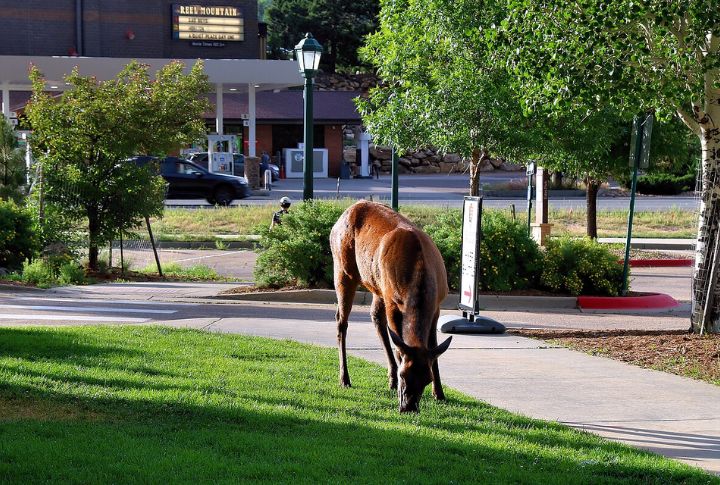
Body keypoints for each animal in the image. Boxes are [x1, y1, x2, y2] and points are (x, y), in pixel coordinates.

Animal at [330, 200, 452, 413]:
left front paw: (439, 393)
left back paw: (389, 379)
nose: (408, 407)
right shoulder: (393, 302)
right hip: (344, 270)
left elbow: (434, 350)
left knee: (375, 317)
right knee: (341, 320)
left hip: (377, 286)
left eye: (427, 379)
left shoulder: (437, 306)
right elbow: (399, 346)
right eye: (405, 374)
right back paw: (345, 379)